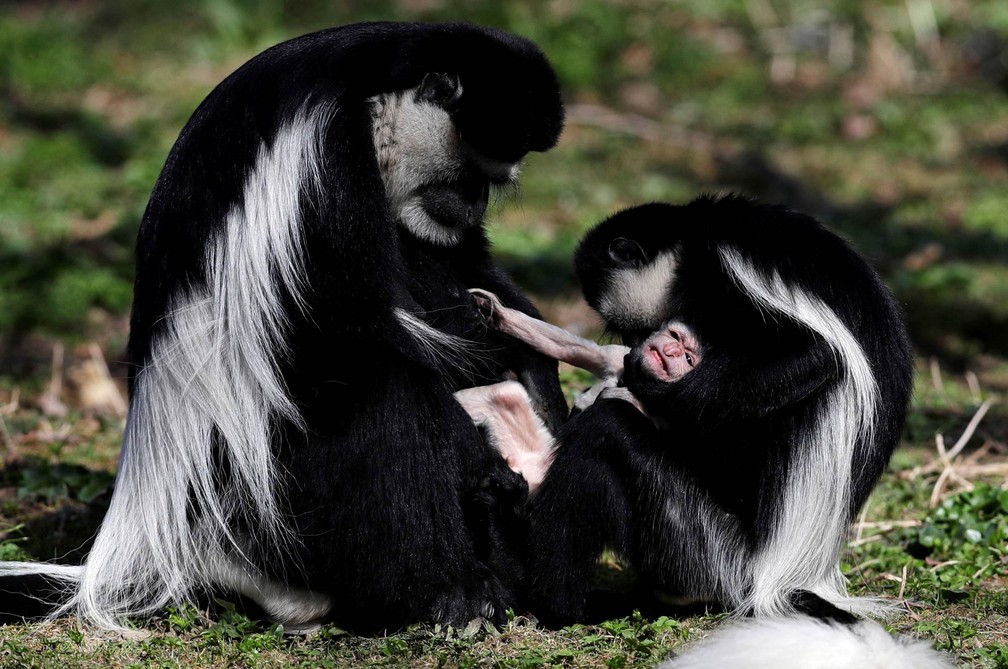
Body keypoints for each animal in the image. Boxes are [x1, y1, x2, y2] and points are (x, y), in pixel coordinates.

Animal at [0, 22, 569, 633]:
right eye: (470, 173)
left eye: (491, 181)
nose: (474, 205)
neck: (371, 93)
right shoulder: (325, 160)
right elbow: (360, 327)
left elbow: (461, 268)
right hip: (269, 499)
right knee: (381, 390)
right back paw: (454, 591)